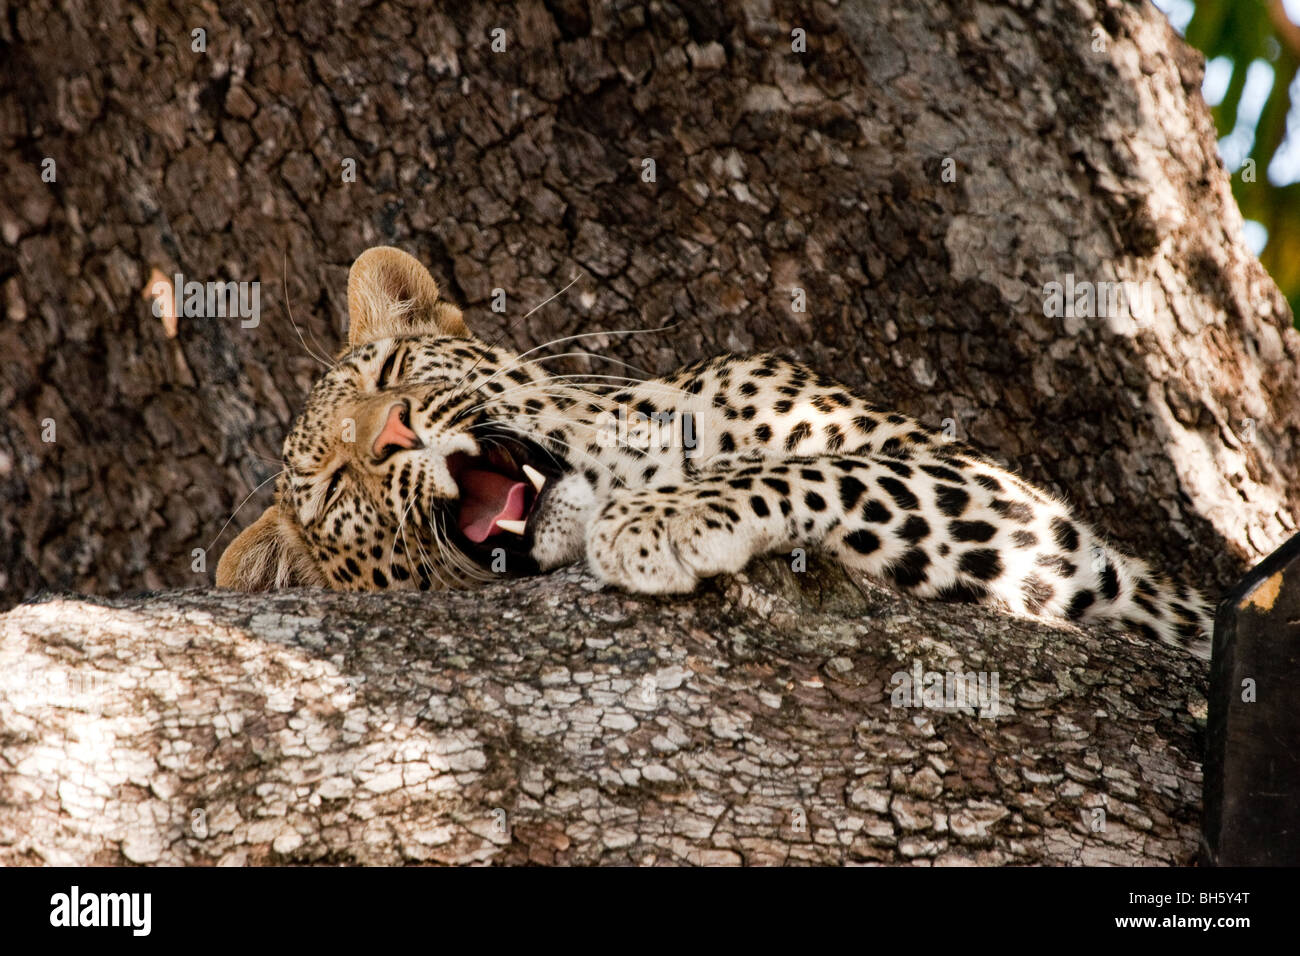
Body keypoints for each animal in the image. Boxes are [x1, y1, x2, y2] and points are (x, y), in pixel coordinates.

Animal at [216, 246, 1214, 661]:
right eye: (334, 484)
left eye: (392, 370)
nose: (391, 434)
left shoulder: (1005, 500)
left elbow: (824, 463)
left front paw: (664, 520)